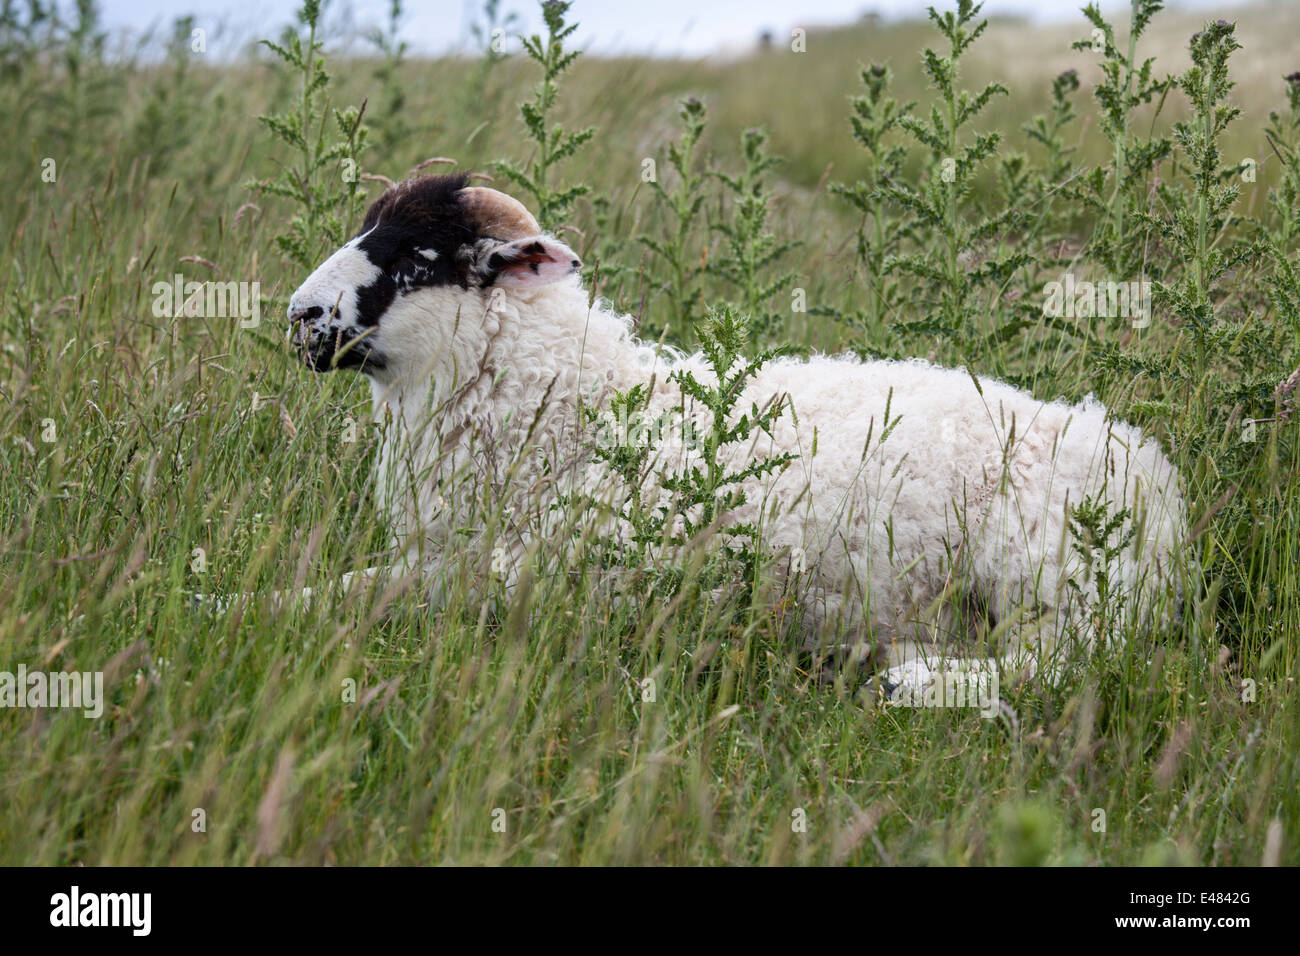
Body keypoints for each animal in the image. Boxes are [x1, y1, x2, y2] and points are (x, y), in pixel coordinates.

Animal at [284, 171, 1191, 698]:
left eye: (417, 260)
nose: (299, 315)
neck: (574, 403)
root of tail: (1149, 470)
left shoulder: (537, 573)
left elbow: (378, 590)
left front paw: (263, 607)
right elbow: (368, 583)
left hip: (1059, 582)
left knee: (1069, 662)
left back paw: (915, 683)